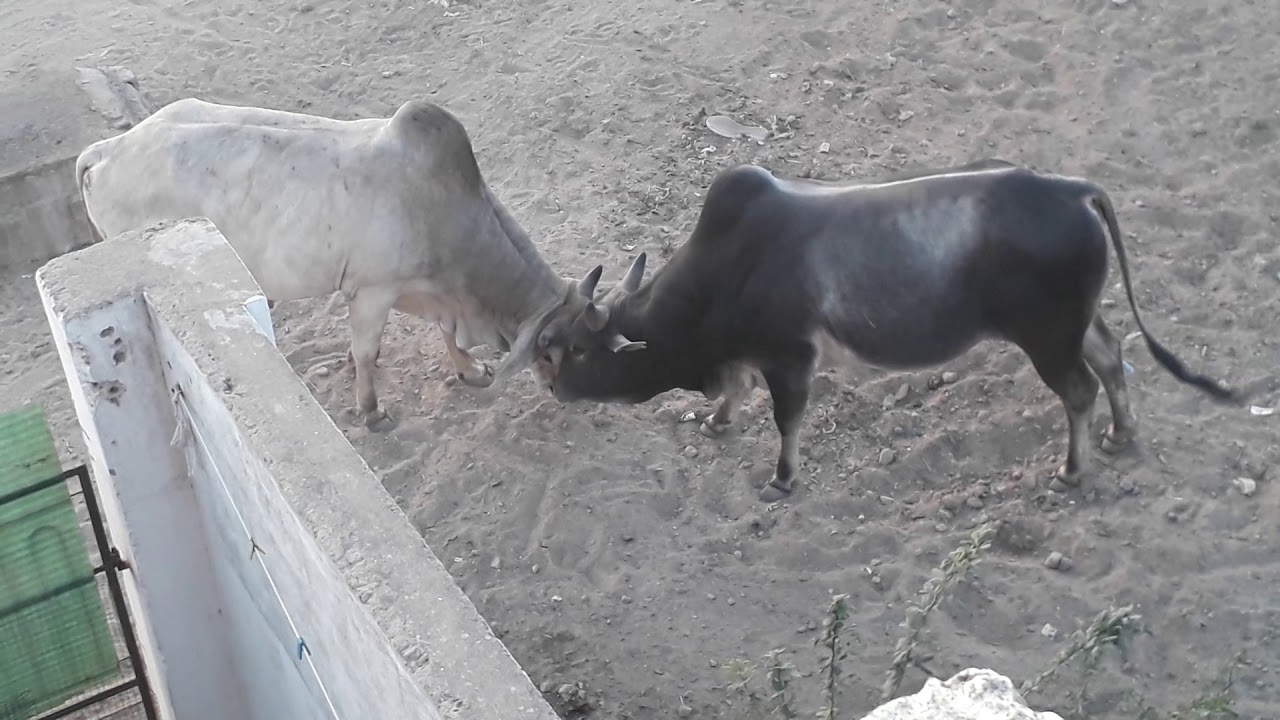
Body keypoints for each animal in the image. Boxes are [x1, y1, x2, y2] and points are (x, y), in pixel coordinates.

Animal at [75, 97, 593, 429]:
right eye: (556, 351)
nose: (569, 395)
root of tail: (108, 150)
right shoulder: (375, 289)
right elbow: (368, 352)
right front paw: (371, 410)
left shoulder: (424, 291)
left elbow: (439, 333)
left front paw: (468, 370)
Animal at [531, 160, 1244, 502]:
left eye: (572, 350)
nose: (552, 390)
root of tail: (1069, 190)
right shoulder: (747, 356)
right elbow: (735, 393)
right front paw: (715, 422)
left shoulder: (790, 357)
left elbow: (786, 419)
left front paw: (782, 480)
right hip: (1075, 321)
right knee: (1112, 355)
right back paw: (1122, 435)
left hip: (1045, 338)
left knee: (1079, 390)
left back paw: (1073, 471)